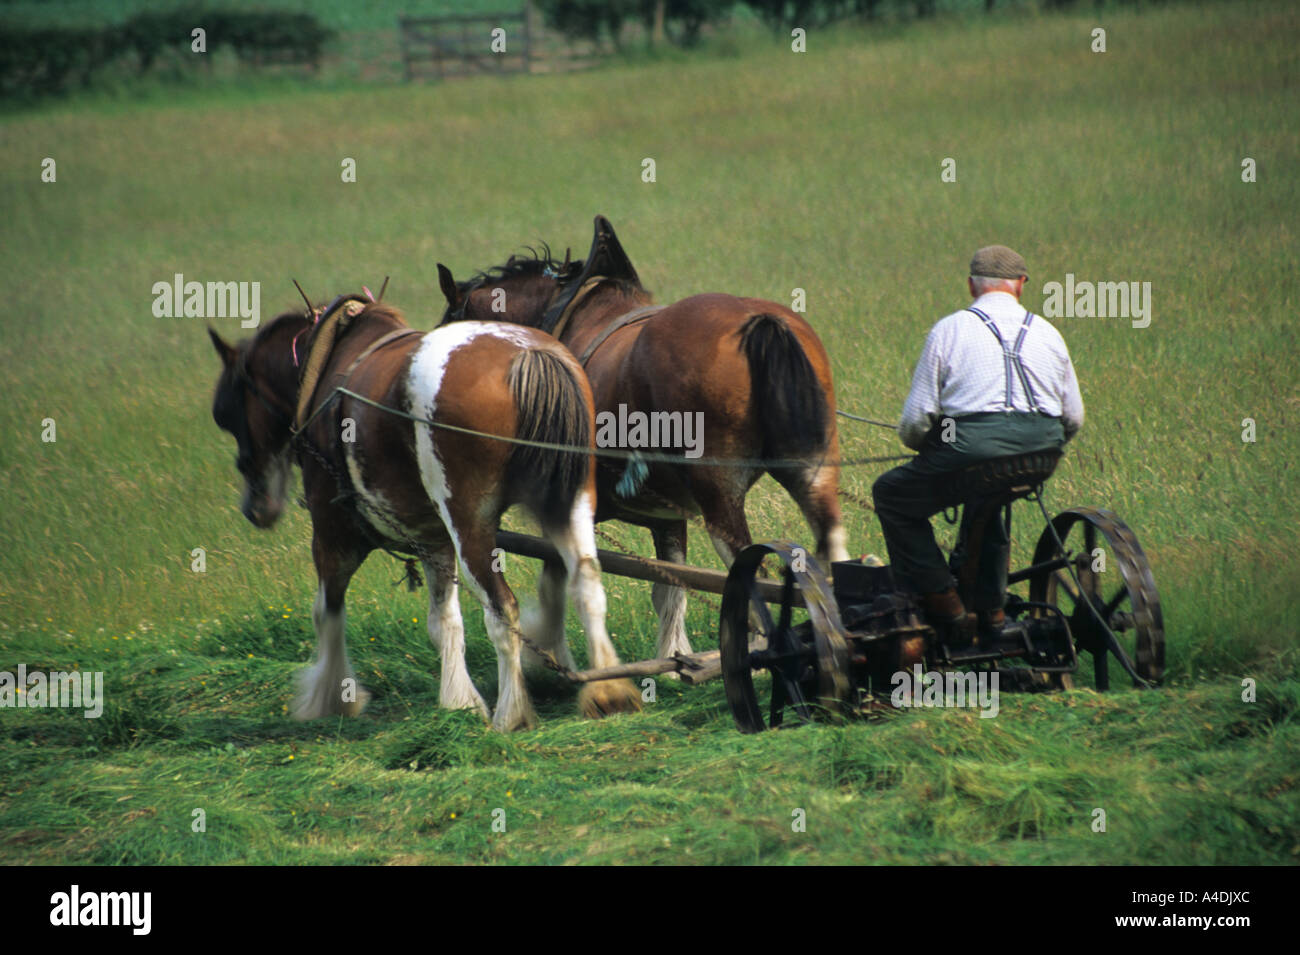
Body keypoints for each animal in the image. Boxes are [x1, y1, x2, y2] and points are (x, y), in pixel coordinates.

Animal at [207, 293, 641, 731]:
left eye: (225, 414)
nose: (255, 507)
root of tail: (528, 353)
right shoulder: (432, 539)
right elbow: (444, 622)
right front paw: (459, 701)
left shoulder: (334, 533)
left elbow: (327, 614)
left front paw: (329, 698)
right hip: (570, 503)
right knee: (586, 581)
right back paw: (608, 691)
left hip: (469, 522)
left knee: (502, 609)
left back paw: (512, 713)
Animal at [436, 216, 849, 664]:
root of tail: (758, 322)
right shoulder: (666, 517)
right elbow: (670, 588)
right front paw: (673, 656)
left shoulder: (566, 508)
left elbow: (556, 586)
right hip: (812, 471)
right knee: (832, 547)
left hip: (719, 494)